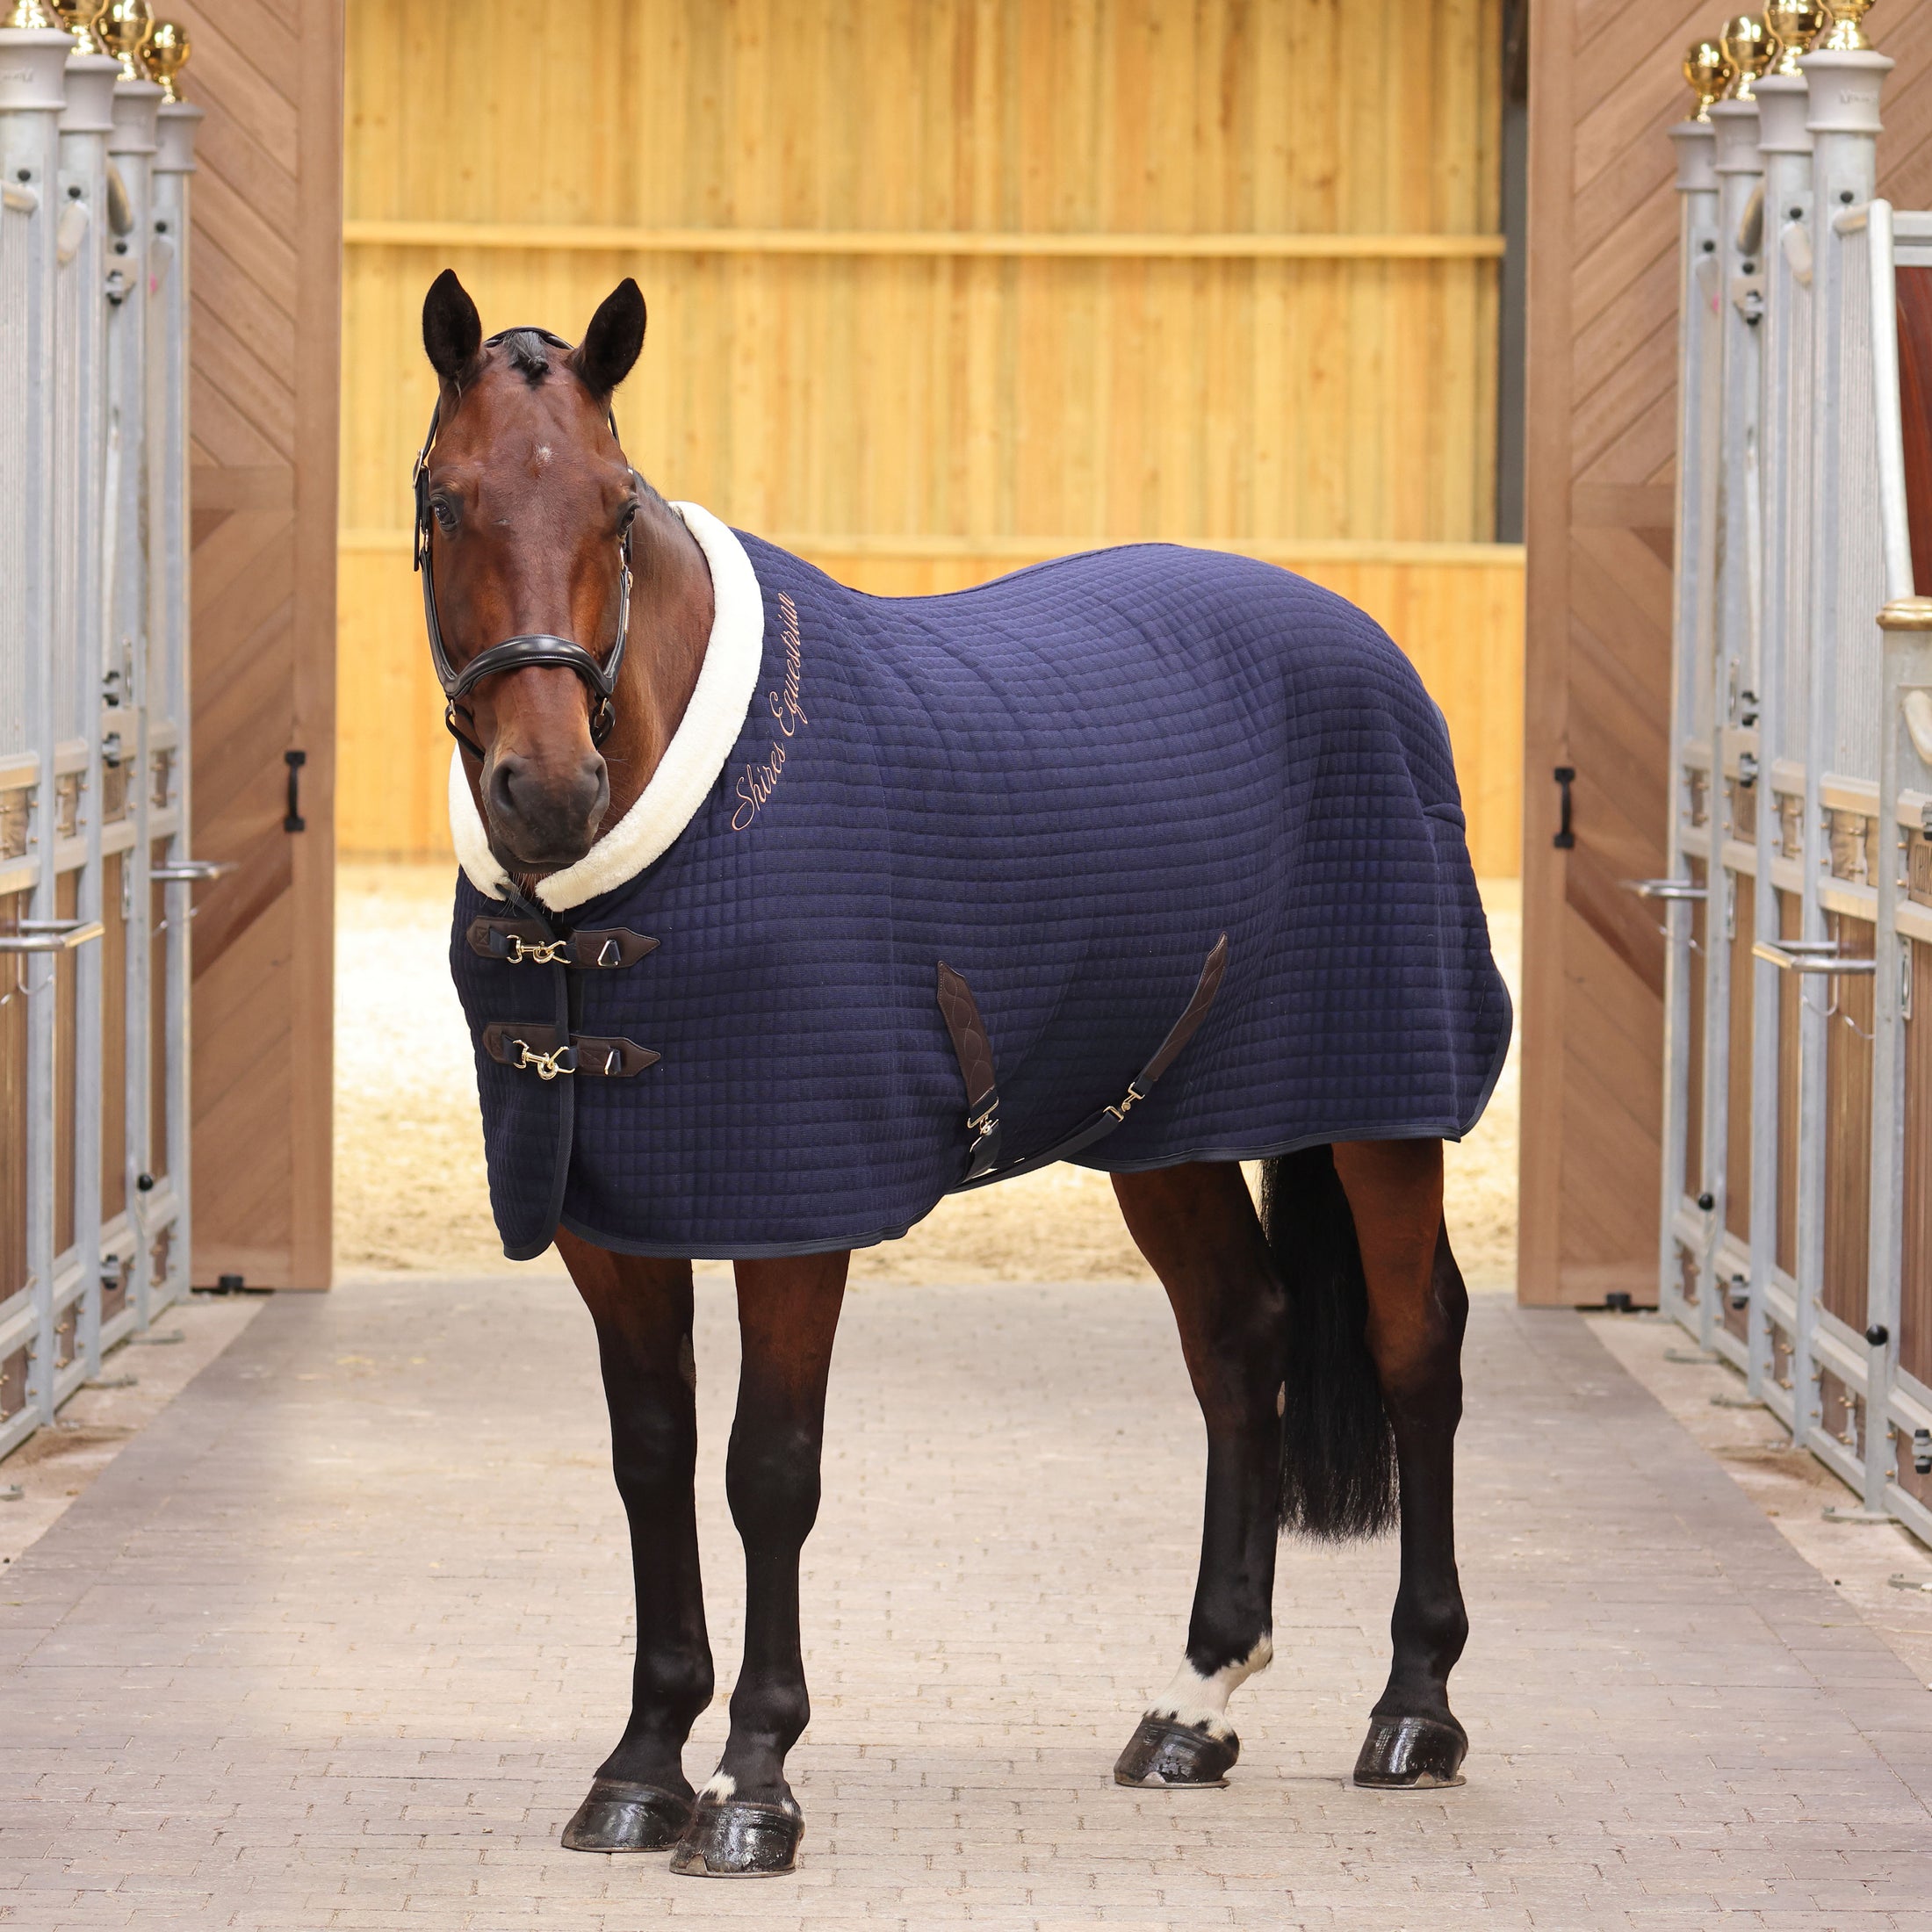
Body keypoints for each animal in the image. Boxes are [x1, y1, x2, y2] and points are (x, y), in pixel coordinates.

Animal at [413, 268, 1505, 1878]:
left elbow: (769, 1470)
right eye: (446, 499)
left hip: (1380, 1109)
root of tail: (1356, 637)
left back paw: (1416, 1710)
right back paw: (1192, 1707)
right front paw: (641, 1768)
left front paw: (755, 1785)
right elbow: (652, 1460)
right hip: (1163, 1128)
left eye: (613, 508)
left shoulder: (795, 1209)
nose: (548, 790)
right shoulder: (616, 1219)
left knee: (1415, 1342)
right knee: (1239, 1342)